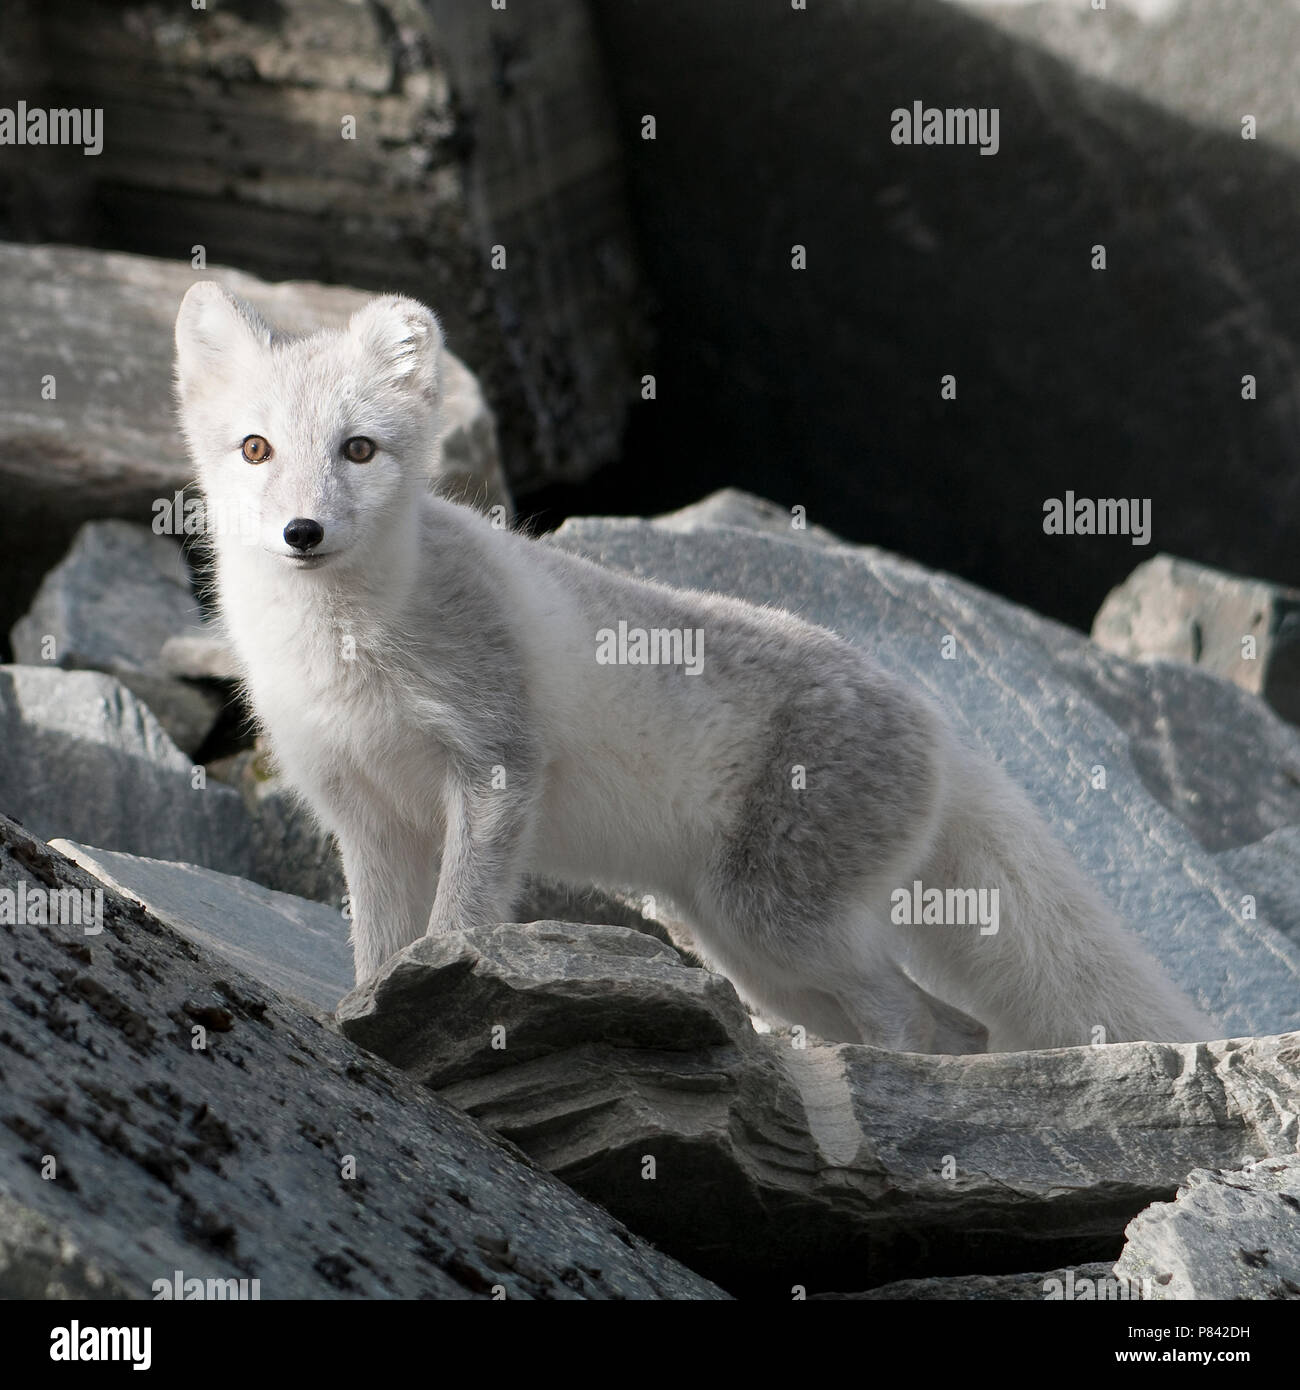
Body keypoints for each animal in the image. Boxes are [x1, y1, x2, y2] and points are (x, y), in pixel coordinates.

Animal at [173, 281, 1214, 1053]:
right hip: (751, 950)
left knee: (919, 1021)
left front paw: (425, 996)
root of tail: (940, 723)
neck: (343, 652)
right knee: (955, 1027)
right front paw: (363, 1012)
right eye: (256, 448)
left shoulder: (496, 764)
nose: (302, 532)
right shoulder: (365, 814)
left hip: (775, 924)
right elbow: (379, 943)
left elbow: (456, 921)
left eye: (358, 449)